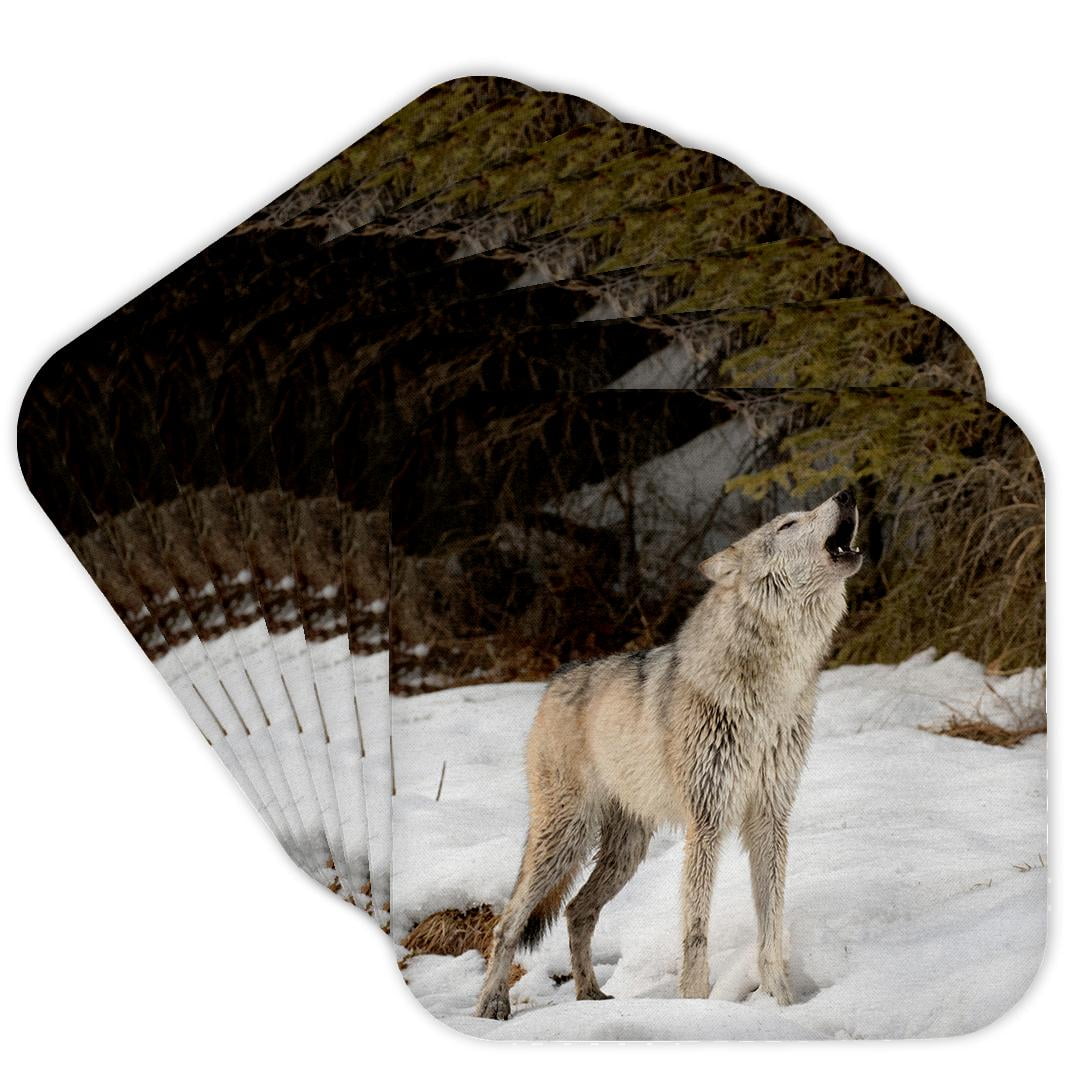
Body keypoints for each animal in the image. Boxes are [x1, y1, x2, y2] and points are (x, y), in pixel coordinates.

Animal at [475, 490, 862, 1019]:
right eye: (787, 524)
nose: (847, 494)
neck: (770, 690)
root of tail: (556, 679)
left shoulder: (771, 819)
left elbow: (771, 929)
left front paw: (782, 1003)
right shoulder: (706, 822)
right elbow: (696, 930)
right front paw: (695, 1006)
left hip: (627, 851)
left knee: (577, 910)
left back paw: (589, 996)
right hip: (566, 839)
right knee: (508, 921)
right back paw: (493, 1002)